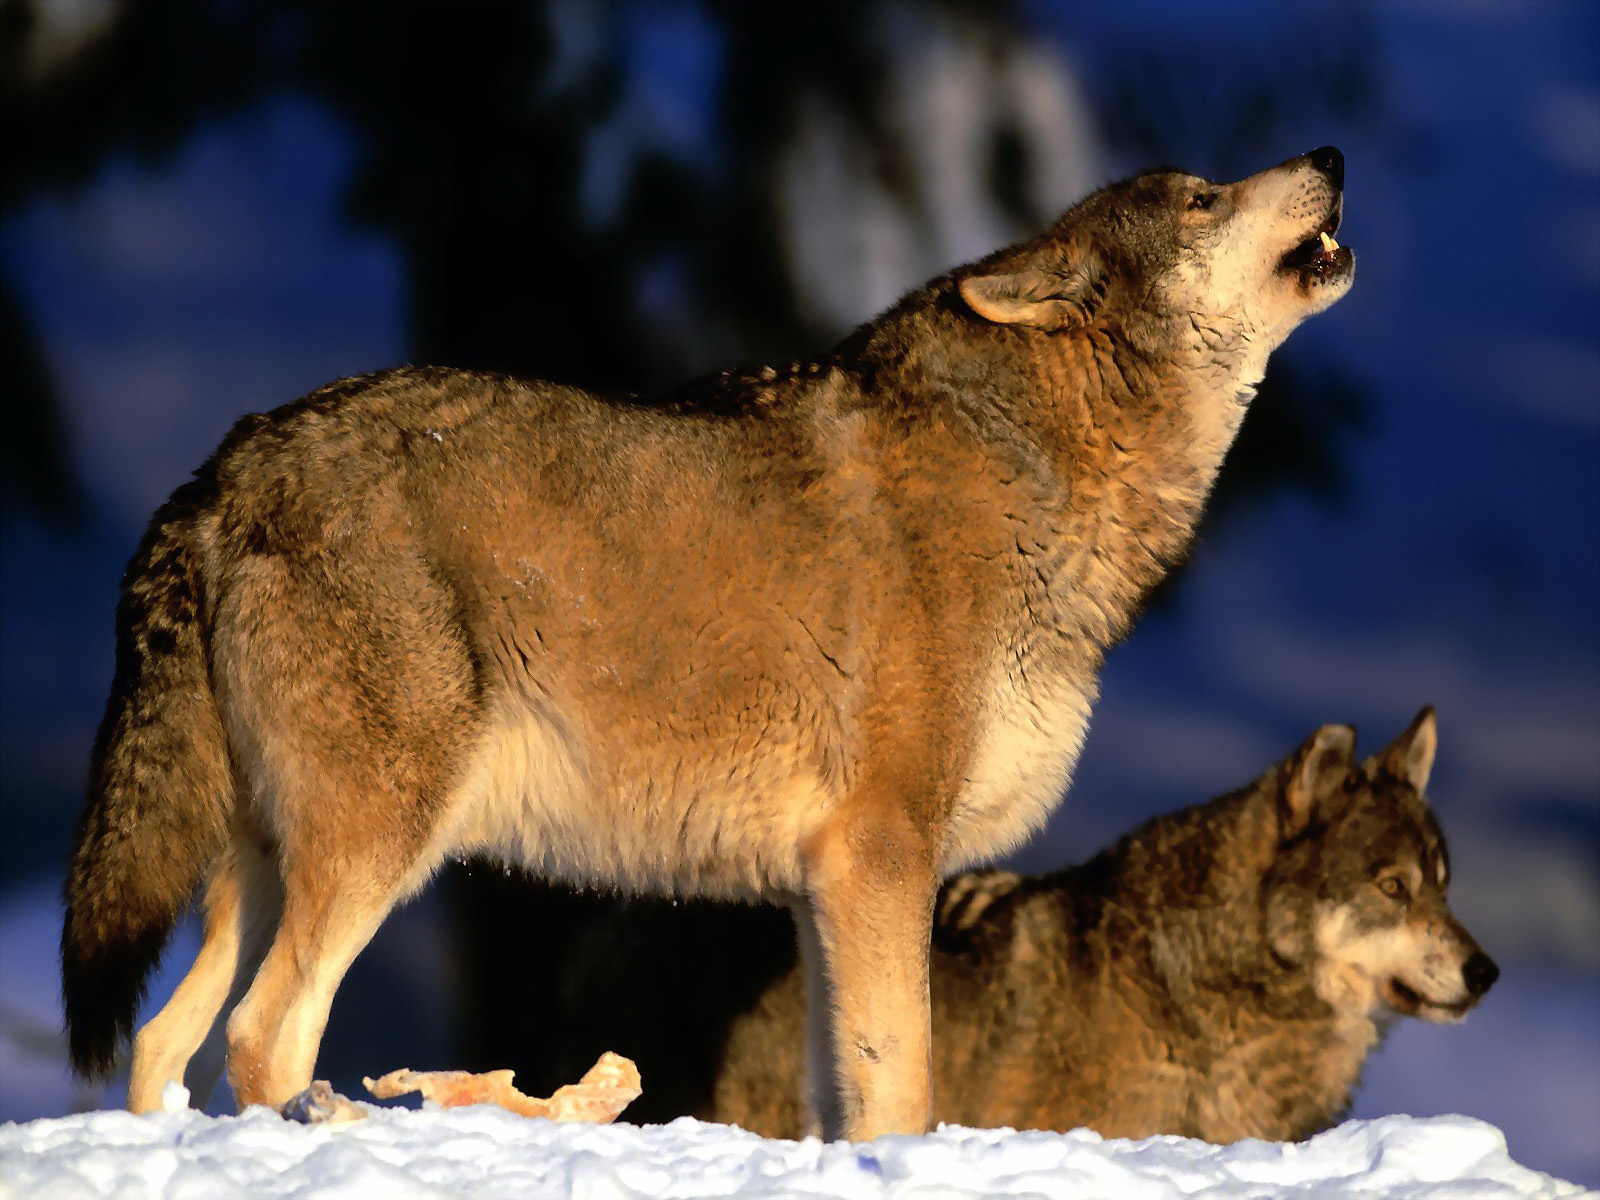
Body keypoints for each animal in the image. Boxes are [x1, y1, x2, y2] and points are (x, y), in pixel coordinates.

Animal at [62, 148, 1354, 1141]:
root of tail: (223, 468)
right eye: (1201, 197)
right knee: (261, 1037)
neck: (1037, 473)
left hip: (260, 869)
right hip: (374, 851)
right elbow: (906, 1089)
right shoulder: (884, 854)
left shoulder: (823, 889)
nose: (1332, 158)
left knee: (162, 1043)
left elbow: (842, 1095)